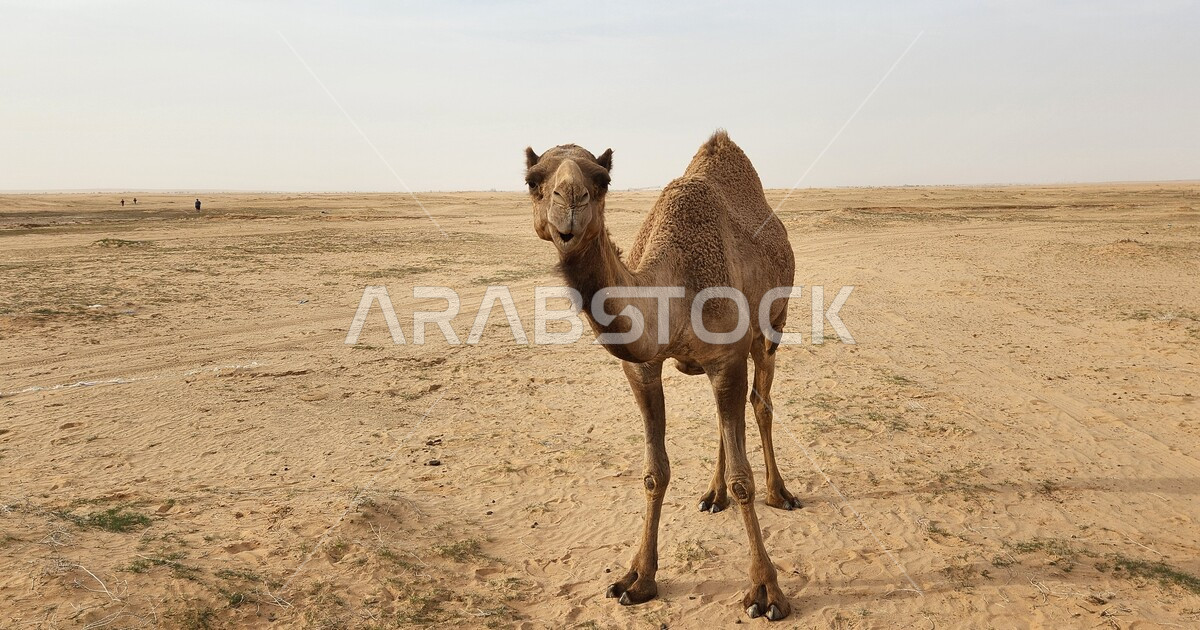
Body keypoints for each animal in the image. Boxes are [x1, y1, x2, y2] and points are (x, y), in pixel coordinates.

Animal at [523, 131, 799, 621]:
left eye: (602, 179)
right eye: (533, 181)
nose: (570, 200)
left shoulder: (728, 357)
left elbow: (743, 479)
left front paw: (766, 591)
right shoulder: (642, 368)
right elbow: (655, 472)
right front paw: (637, 579)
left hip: (771, 328)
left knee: (761, 404)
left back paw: (779, 492)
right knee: (726, 421)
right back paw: (712, 496)